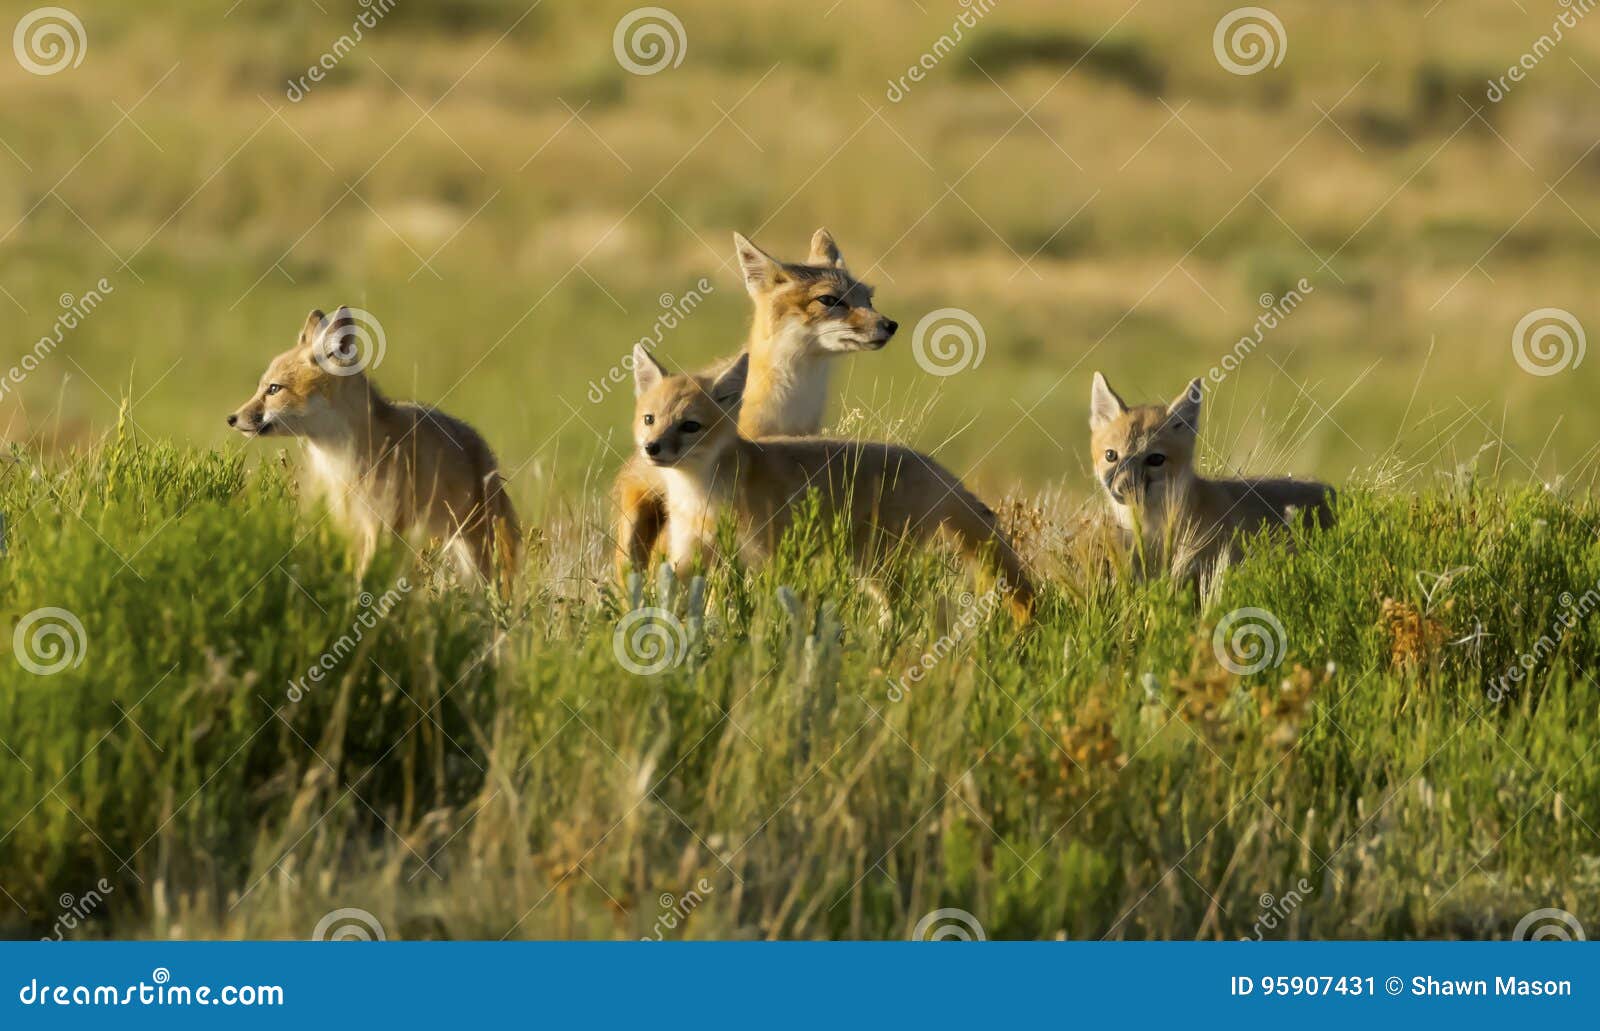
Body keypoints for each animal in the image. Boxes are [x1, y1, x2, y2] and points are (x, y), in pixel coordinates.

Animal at [227, 307, 520, 589]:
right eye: (260, 388)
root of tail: (482, 445)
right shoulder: (343, 523)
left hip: (474, 548)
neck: (339, 462)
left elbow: (367, 577)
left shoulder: (382, 525)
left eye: (274, 389)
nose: (231, 418)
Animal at [629, 345, 1035, 622]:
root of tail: (933, 464)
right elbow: (667, 594)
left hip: (877, 566)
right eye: (650, 419)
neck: (700, 496)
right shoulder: (690, 554)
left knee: (917, 612)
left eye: (690, 426)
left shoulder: (764, 557)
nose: (652, 448)